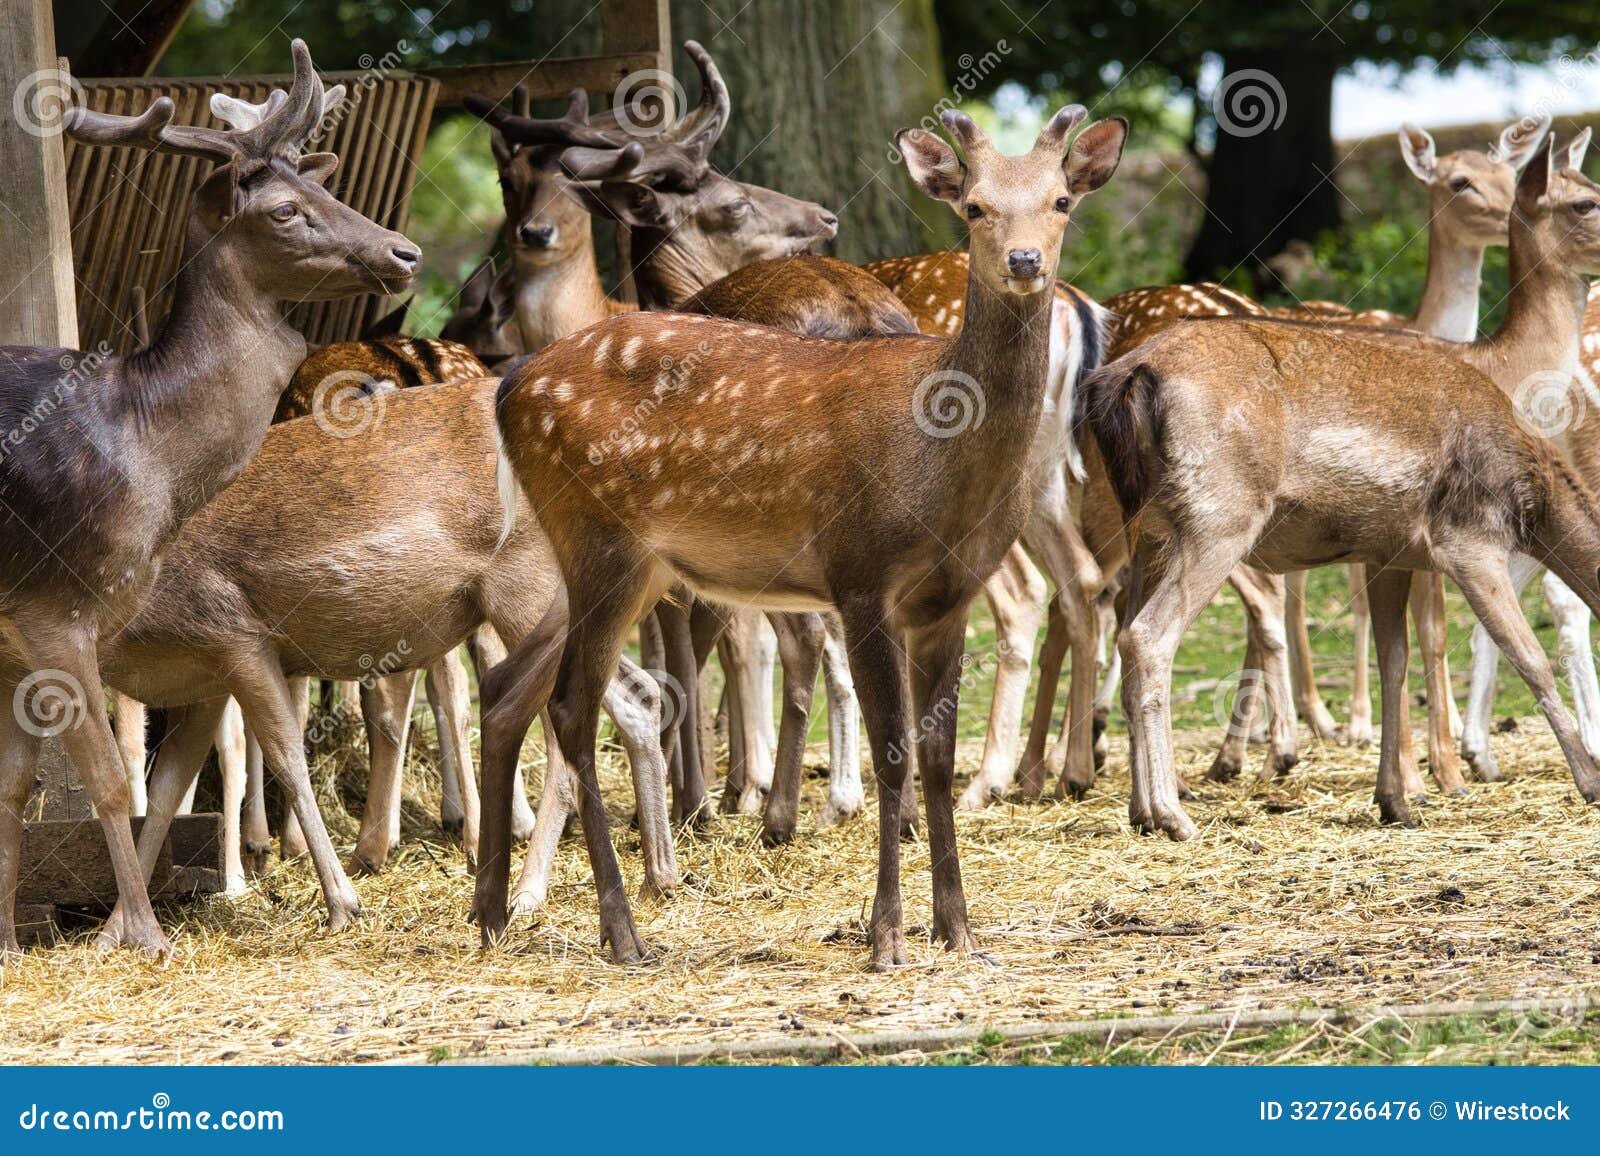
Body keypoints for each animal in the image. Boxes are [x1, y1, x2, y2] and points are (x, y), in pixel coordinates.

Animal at [0, 41, 419, 961]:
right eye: (287, 211)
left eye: (328, 188)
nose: (405, 252)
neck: (152, 455)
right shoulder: (54, 608)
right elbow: (110, 783)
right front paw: (144, 935)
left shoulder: (21, 642)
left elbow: (13, 789)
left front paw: (9, 942)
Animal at [471, 106, 1128, 967]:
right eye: (975, 206)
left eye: (1061, 202)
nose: (1024, 260)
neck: (942, 466)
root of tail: (510, 387)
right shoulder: (860, 573)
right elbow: (892, 754)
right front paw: (886, 934)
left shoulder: (947, 598)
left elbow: (936, 759)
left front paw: (957, 929)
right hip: (599, 541)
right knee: (572, 707)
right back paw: (620, 930)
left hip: (624, 565)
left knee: (507, 686)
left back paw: (490, 912)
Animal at [1078, 130, 1600, 839]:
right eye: (1585, 201)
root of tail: (1124, 376)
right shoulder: (1463, 542)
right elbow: (1521, 655)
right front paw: (1568, 781)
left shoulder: (1390, 553)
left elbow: (1397, 659)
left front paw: (1400, 797)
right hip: (1215, 518)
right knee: (1146, 635)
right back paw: (1173, 811)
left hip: (1150, 529)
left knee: (1122, 620)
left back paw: (1147, 800)